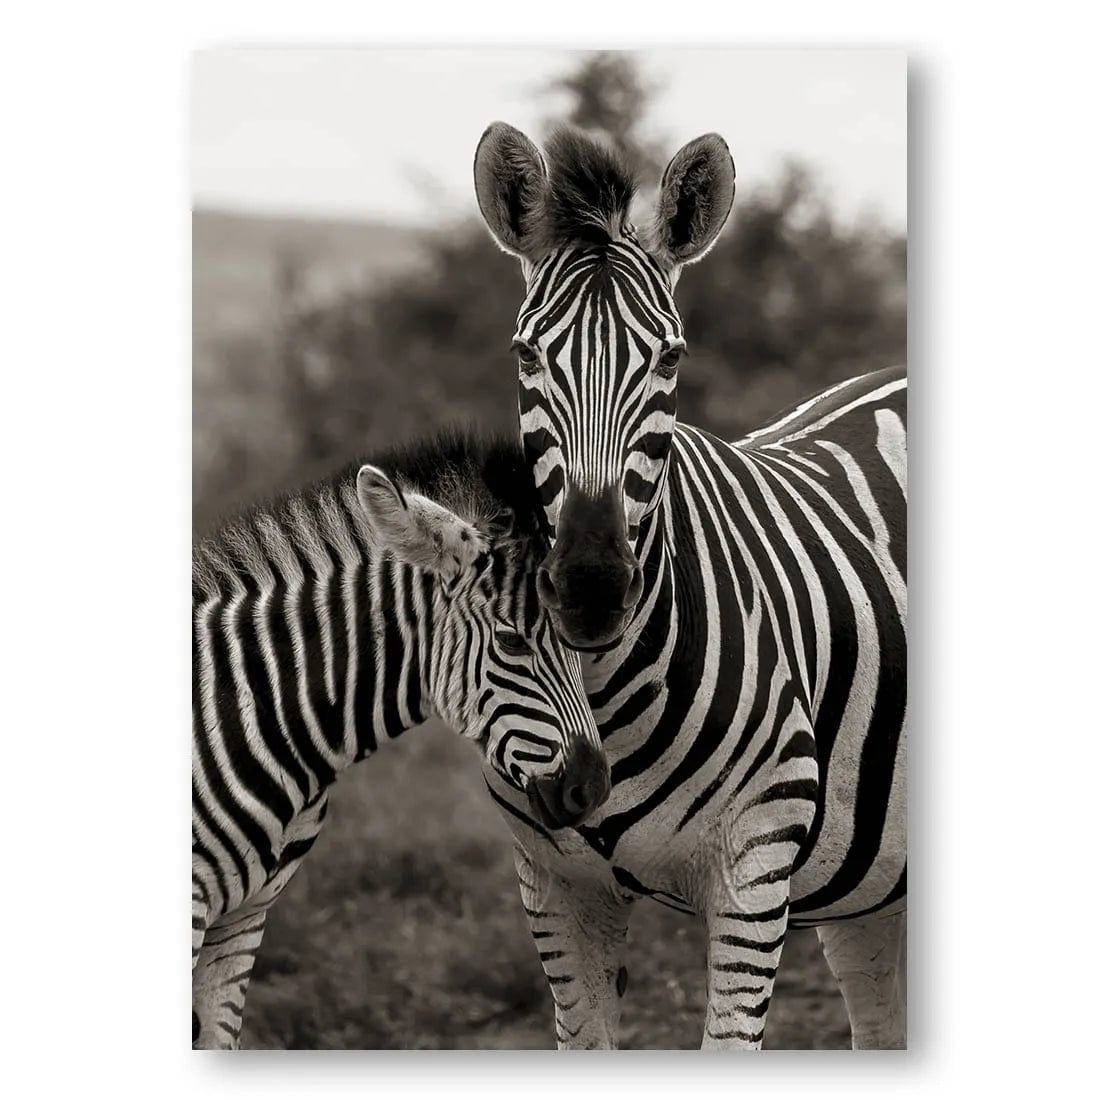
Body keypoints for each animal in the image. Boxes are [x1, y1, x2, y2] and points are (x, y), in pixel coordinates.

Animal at [472, 123, 907, 1049]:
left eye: (670, 358)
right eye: (526, 354)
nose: (591, 587)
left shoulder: (756, 865)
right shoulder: (553, 884)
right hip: (868, 879)